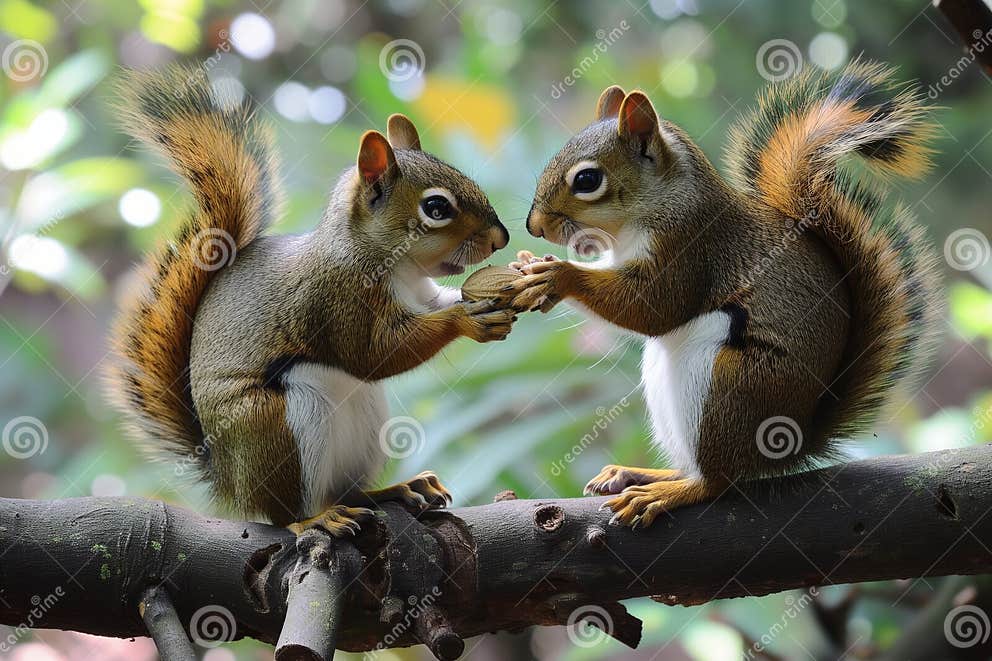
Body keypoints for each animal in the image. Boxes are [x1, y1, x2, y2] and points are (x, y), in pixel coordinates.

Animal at [106, 66, 513, 535]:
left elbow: (435, 305)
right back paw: (317, 519)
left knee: (349, 490)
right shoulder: (335, 299)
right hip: (277, 426)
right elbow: (373, 354)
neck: (393, 265)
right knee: (285, 514)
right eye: (436, 208)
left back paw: (393, 490)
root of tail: (229, 480)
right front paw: (465, 319)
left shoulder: (421, 294)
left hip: (366, 419)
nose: (501, 237)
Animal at [507, 60, 941, 528]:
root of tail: (796, 443)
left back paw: (668, 492)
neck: (661, 202)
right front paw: (527, 263)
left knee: (717, 480)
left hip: (727, 387)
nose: (534, 226)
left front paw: (558, 275)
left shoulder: (690, 249)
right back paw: (640, 475)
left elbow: (652, 308)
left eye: (587, 179)